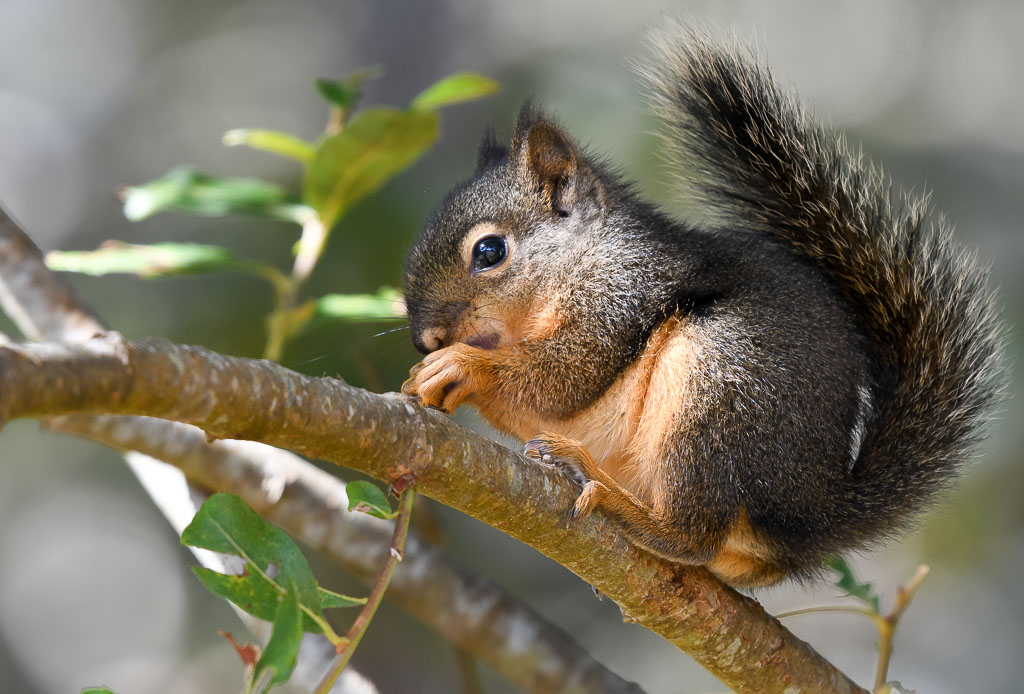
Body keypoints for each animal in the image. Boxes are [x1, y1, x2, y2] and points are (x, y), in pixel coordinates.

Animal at [399, 28, 1003, 588]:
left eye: (489, 252)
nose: (428, 338)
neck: (585, 256)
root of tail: (812, 512)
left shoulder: (623, 291)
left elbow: (567, 376)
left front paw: (464, 367)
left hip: (718, 381)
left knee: (693, 534)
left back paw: (615, 499)